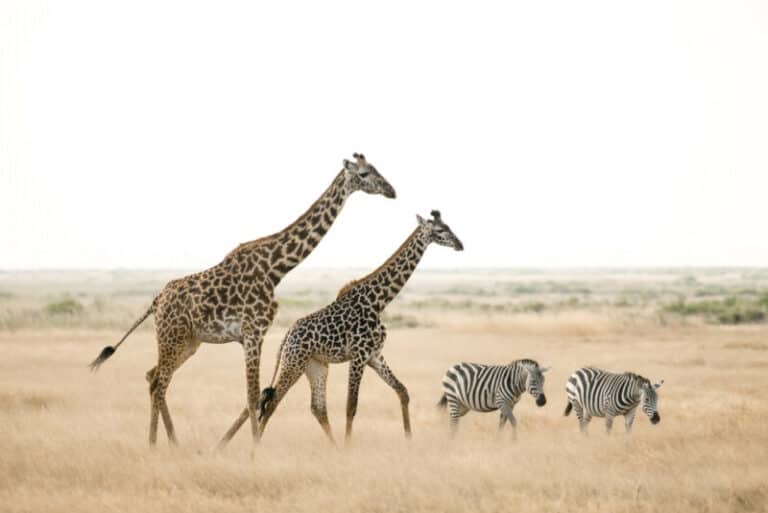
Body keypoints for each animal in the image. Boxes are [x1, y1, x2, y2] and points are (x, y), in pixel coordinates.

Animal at [88, 153, 396, 446]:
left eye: (376, 169)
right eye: (364, 173)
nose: (391, 191)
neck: (276, 269)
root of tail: (156, 302)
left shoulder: (252, 335)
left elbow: (255, 396)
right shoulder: (253, 332)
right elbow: (252, 396)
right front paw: (254, 449)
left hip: (188, 343)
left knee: (154, 377)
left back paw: (174, 443)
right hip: (171, 337)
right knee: (159, 382)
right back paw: (154, 445)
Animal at [243, 210, 463, 445]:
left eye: (449, 226)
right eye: (440, 230)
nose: (460, 244)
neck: (379, 302)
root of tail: (287, 336)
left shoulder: (374, 355)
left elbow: (402, 391)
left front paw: (409, 439)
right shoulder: (358, 355)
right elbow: (351, 406)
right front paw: (350, 446)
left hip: (316, 366)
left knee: (317, 407)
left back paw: (334, 447)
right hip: (293, 362)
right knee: (272, 403)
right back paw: (256, 448)